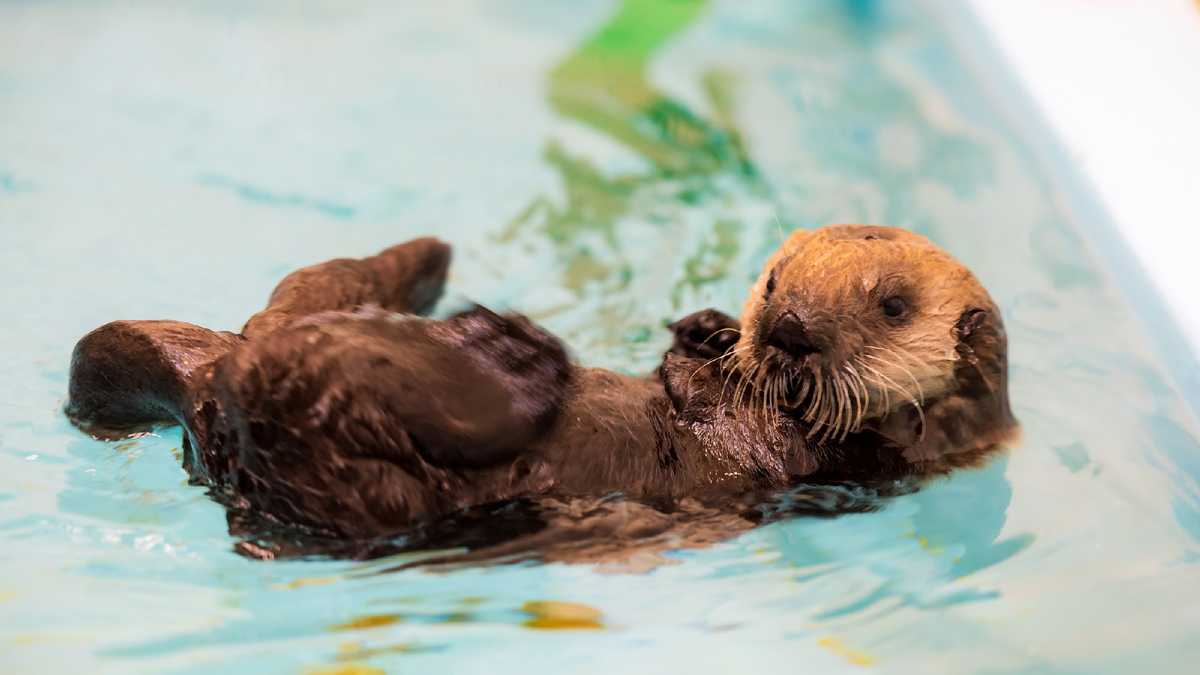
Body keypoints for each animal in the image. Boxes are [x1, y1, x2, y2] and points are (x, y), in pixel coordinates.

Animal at [65, 225, 1016, 558]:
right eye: (776, 279)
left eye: (892, 306)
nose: (785, 329)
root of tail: (208, 387)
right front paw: (705, 335)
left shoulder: (858, 458)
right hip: (298, 333)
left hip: (353, 472)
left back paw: (513, 356)